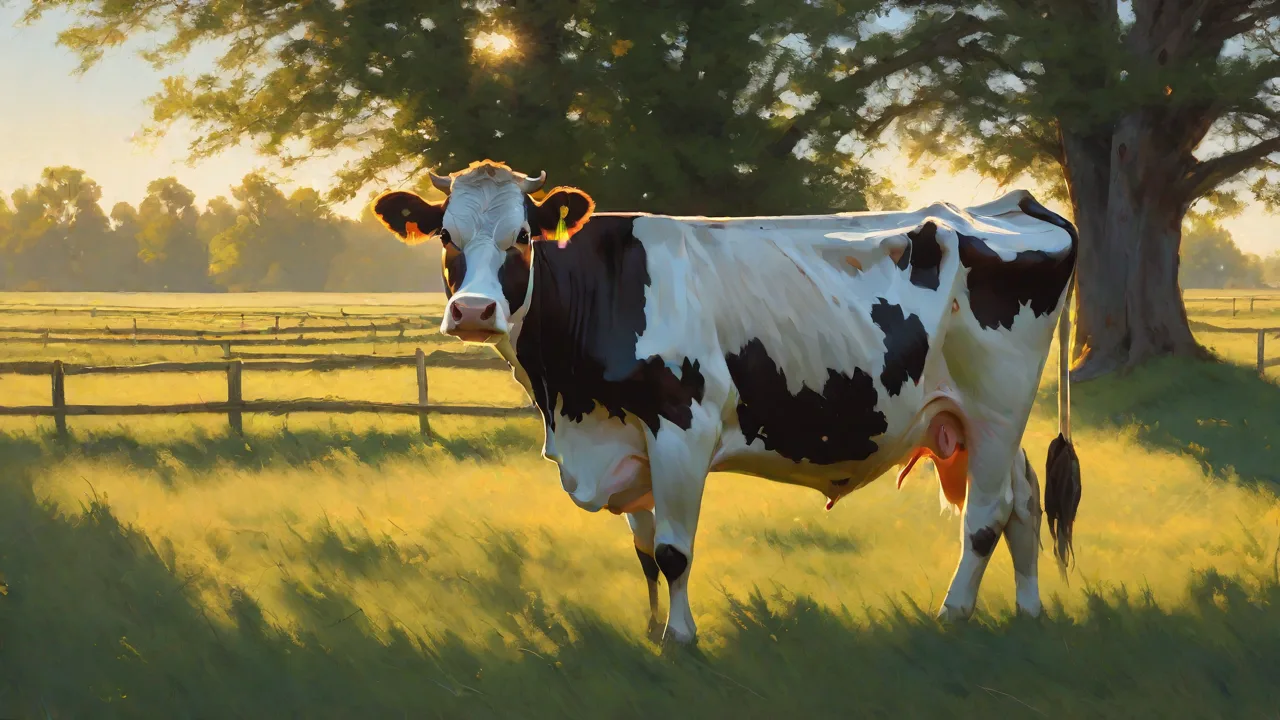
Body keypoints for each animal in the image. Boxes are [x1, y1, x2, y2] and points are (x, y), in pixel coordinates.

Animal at [372, 159, 1082, 645]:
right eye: (446, 238)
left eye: (522, 237)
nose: (473, 311)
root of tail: (1014, 202)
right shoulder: (628, 441)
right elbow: (645, 554)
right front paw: (651, 632)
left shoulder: (681, 428)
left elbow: (673, 552)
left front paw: (680, 641)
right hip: (971, 417)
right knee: (1022, 501)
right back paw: (1028, 612)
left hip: (995, 407)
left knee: (986, 516)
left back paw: (953, 614)